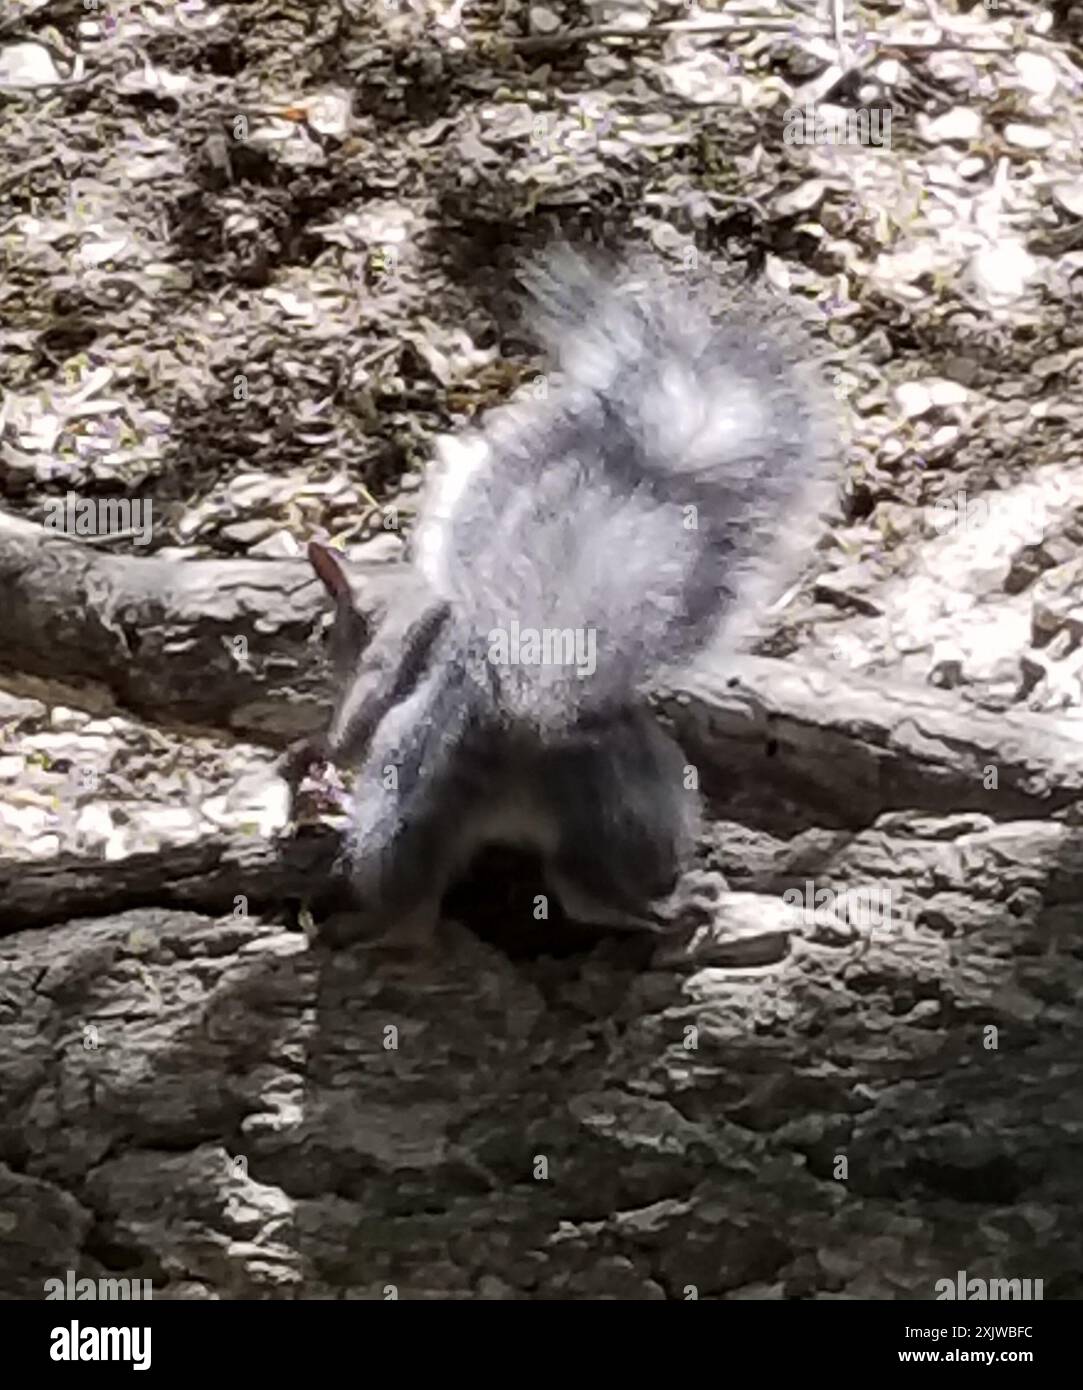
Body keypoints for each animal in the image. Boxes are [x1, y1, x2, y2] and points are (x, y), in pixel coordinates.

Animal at [297, 249, 835, 948]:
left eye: (323, 630)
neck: (413, 595)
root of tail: (525, 730)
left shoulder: (384, 663)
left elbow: (353, 726)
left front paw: (316, 758)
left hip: (404, 791)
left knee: (412, 908)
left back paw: (360, 918)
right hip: (638, 806)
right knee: (590, 892)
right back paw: (674, 903)